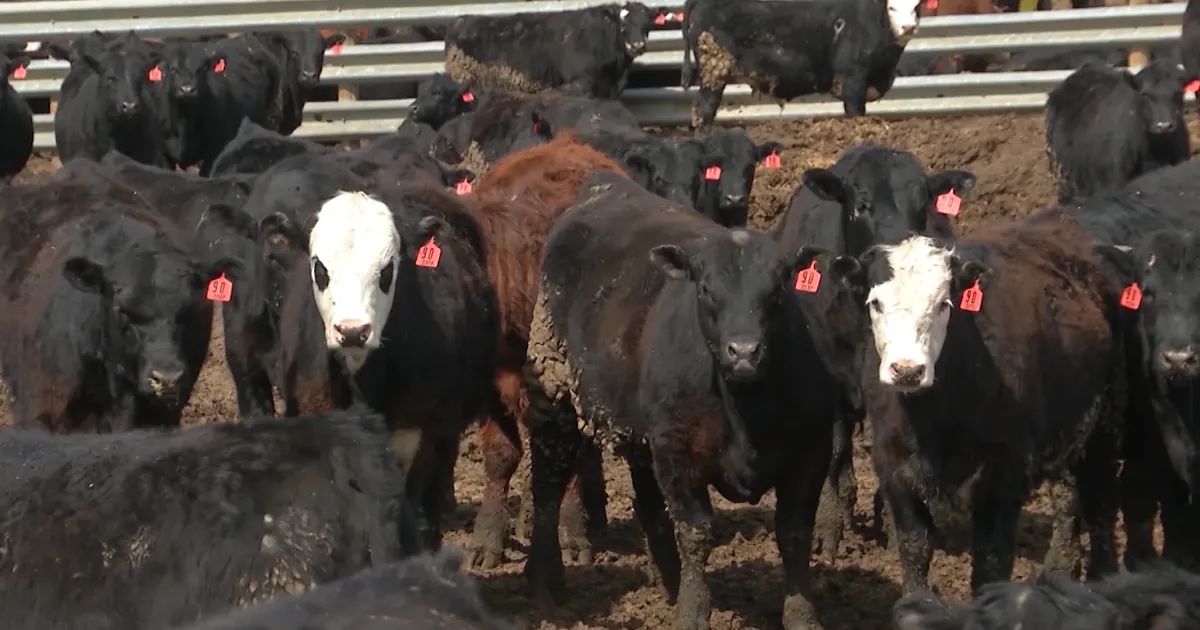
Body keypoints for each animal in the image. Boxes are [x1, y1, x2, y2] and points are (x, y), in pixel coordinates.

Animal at [523, 170, 841, 629]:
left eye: (778, 289)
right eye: (706, 289)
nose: (744, 351)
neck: (748, 411)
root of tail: (603, 187)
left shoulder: (809, 455)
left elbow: (795, 534)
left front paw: (803, 616)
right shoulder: (679, 457)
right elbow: (696, 533)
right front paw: (693, 611)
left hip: (640, 433)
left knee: (649, 505)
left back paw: (666, 582)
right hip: (555, 400)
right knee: (546, 489)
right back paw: (542, 585)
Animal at [682, 0, 920, 127]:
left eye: (916, 6)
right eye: (892, 8)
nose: (908, 27)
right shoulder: (852, 79)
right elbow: (855, 113)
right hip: (713, 71)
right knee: (704, 110)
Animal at [772, 143, 975, 559]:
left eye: (922, 205)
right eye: (861, 204)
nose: (897, 253)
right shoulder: (830, 376)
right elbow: (834, 452)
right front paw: (829, 528)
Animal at [825, 211, 1123, 595]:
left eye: (943, 304)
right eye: (876, 303)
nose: (907, 370)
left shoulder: (1004, 477)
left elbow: (991, 562)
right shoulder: (895, 471)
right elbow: (914, 551)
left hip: (1106, 424)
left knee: (1097, 505)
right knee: (1068, 499)